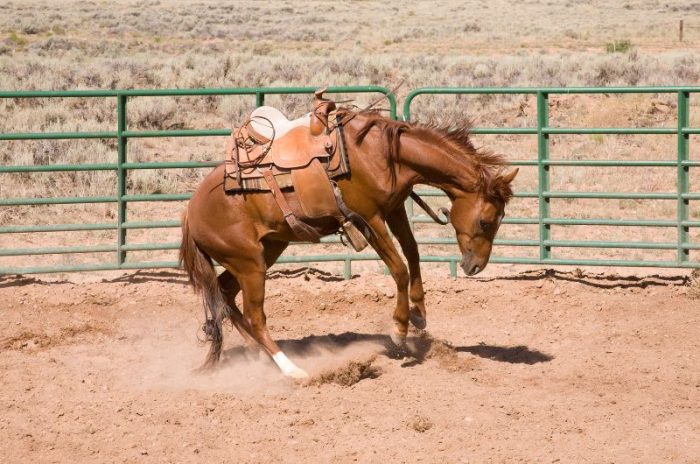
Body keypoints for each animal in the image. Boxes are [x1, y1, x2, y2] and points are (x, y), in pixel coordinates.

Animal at [179, 108, 518, 378]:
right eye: (486, 221)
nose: (475, 266)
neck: (383, 154)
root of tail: (191, 211)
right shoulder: (369, 218)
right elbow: (399, 268)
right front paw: (399, 330)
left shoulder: (394, 209)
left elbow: (413, 253)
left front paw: (420, 312)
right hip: (250, 263)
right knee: (254, 315)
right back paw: (291, 370)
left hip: (266, 250)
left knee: (226, 294)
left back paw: (259, 356)